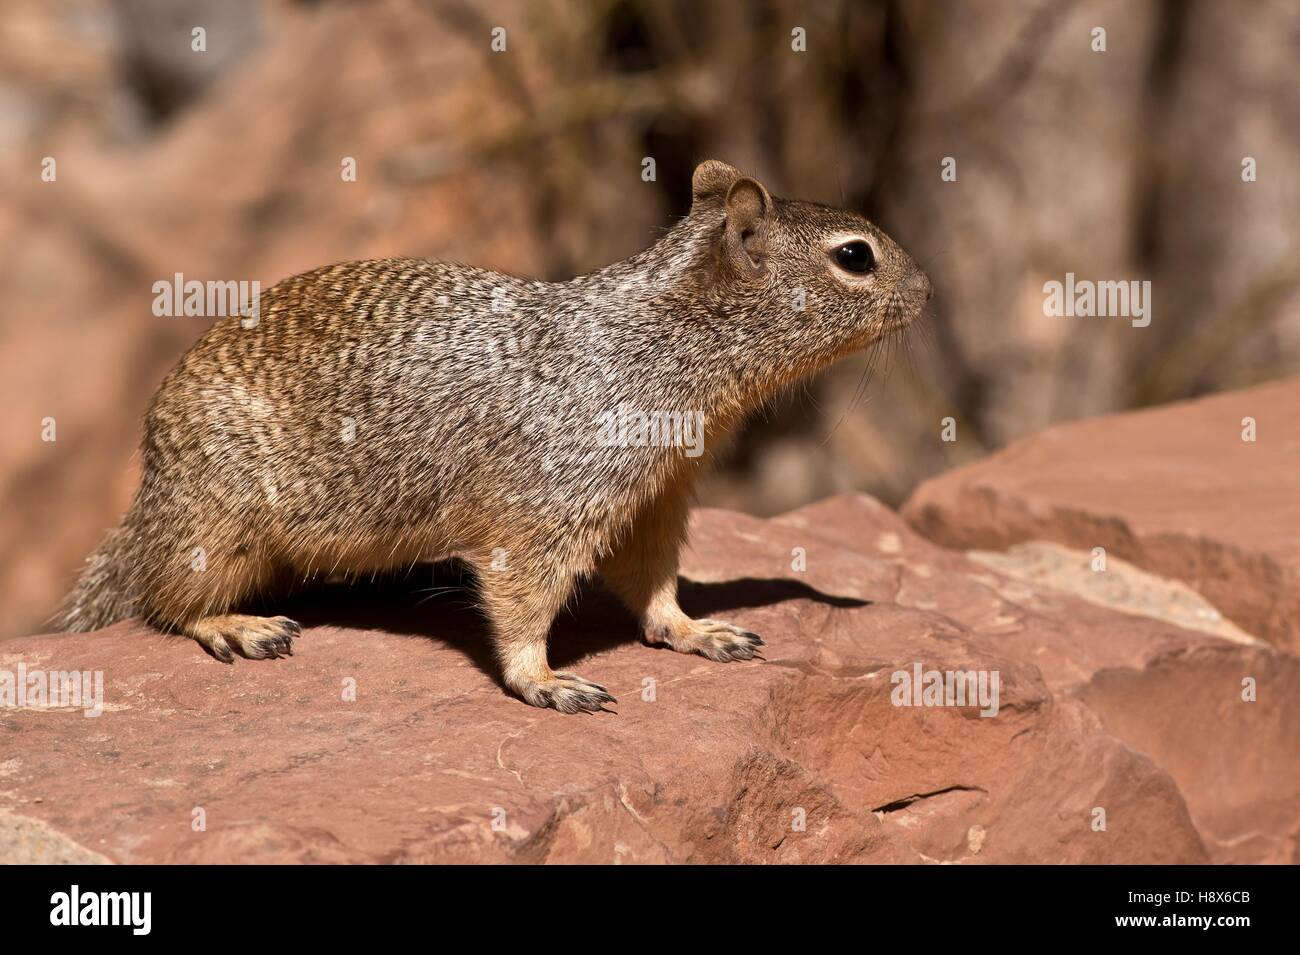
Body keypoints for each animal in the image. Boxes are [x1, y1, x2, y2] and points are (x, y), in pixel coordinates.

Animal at [58, 160, 931, 713]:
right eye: (856, 256)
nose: (928, 289)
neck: (661, 342)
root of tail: (150, 482)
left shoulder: (653, 497)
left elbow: (653, 582)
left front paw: (693, 629)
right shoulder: (547, 505)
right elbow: (522, 597)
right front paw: (545, 679)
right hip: (219, 522)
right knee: (164, 596)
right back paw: (237, 626)